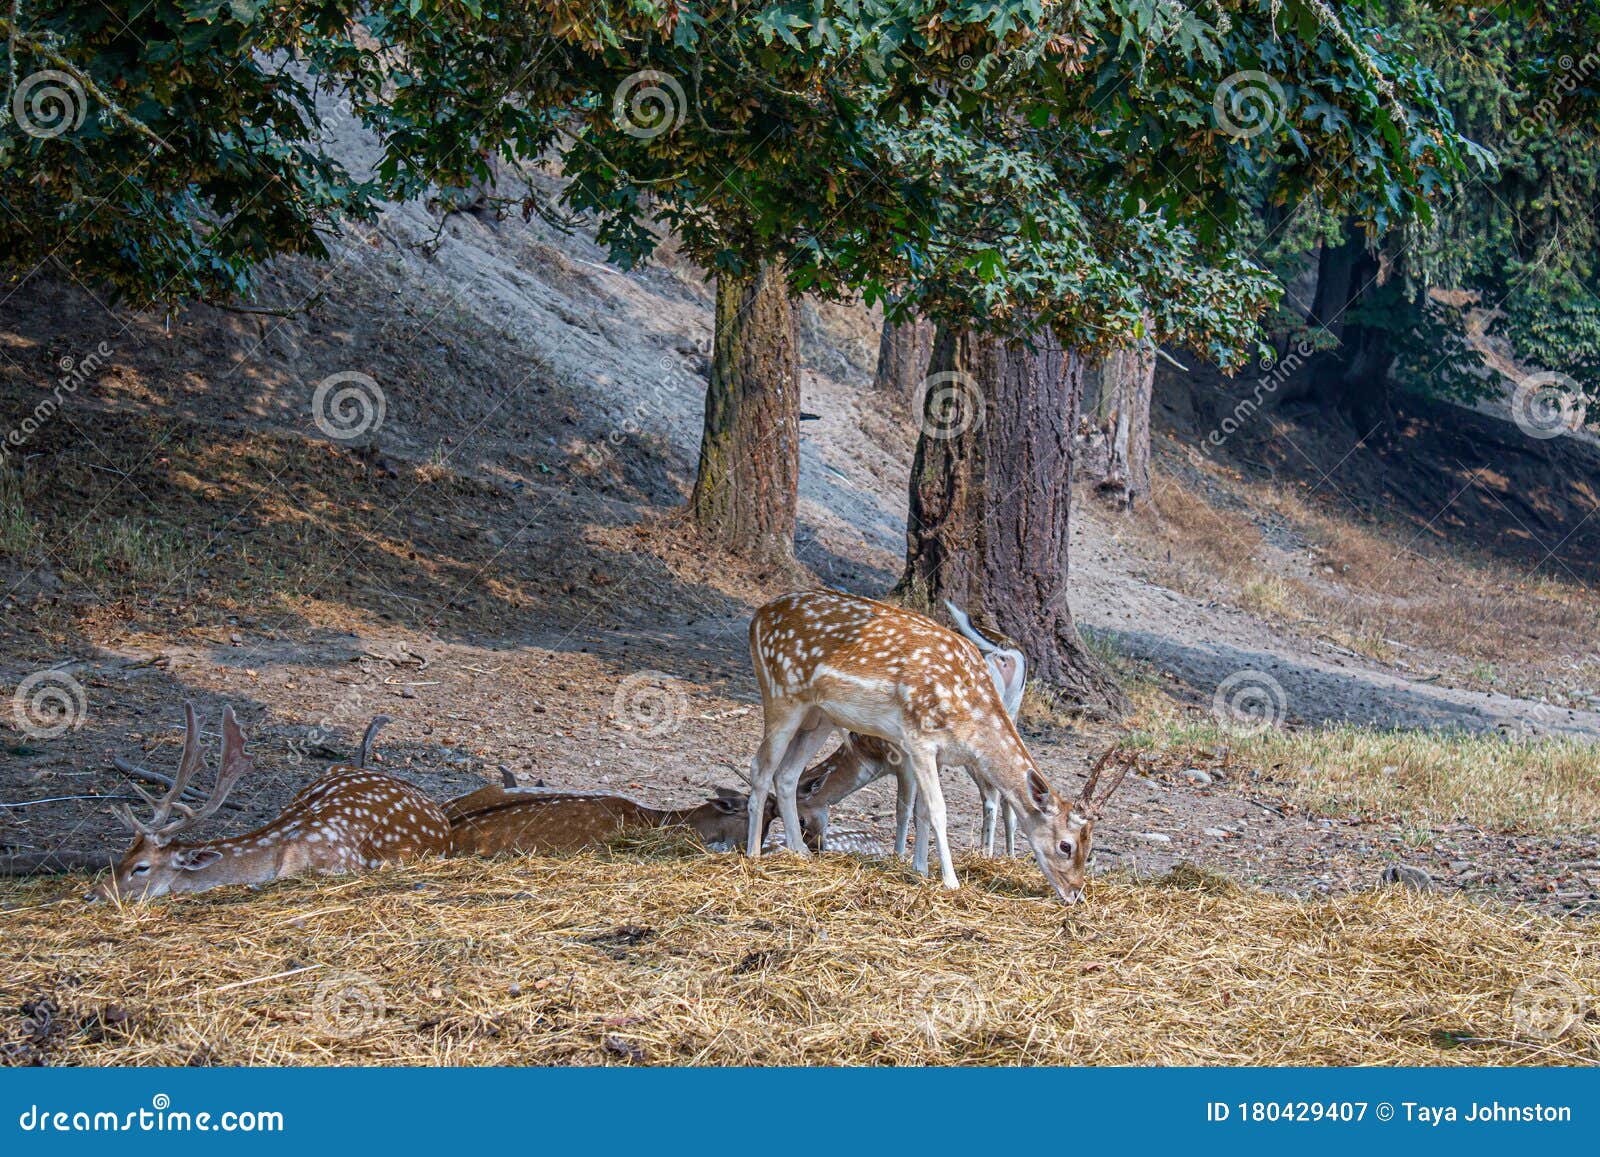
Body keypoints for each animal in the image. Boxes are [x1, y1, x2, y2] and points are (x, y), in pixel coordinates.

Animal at [792, 600, 1025, 858]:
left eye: (801, 819)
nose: (816, 848)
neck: (874, 755)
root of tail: (1004, 652)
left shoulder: (904, 758)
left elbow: (904, 809)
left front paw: (900, 855)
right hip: (1011, 715)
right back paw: (1010, 856)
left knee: (992, 792)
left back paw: (985, 853)